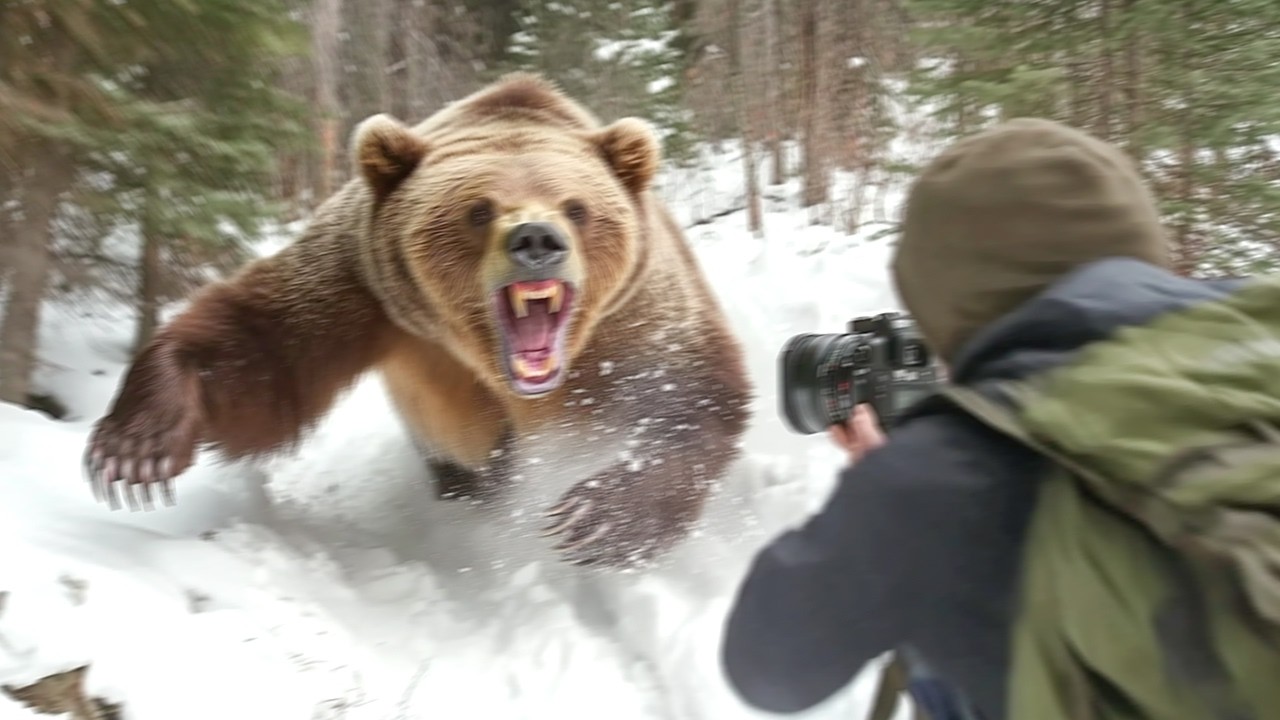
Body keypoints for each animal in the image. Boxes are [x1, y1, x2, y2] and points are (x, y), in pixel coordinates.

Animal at [82, 73, 754, 570]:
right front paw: (137, 448)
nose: (538, 239)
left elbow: (691, 389)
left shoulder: (631, 316)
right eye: (478, 210)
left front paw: (598, 518)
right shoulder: (362, 282)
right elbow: (263, 353)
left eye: (577, 207)